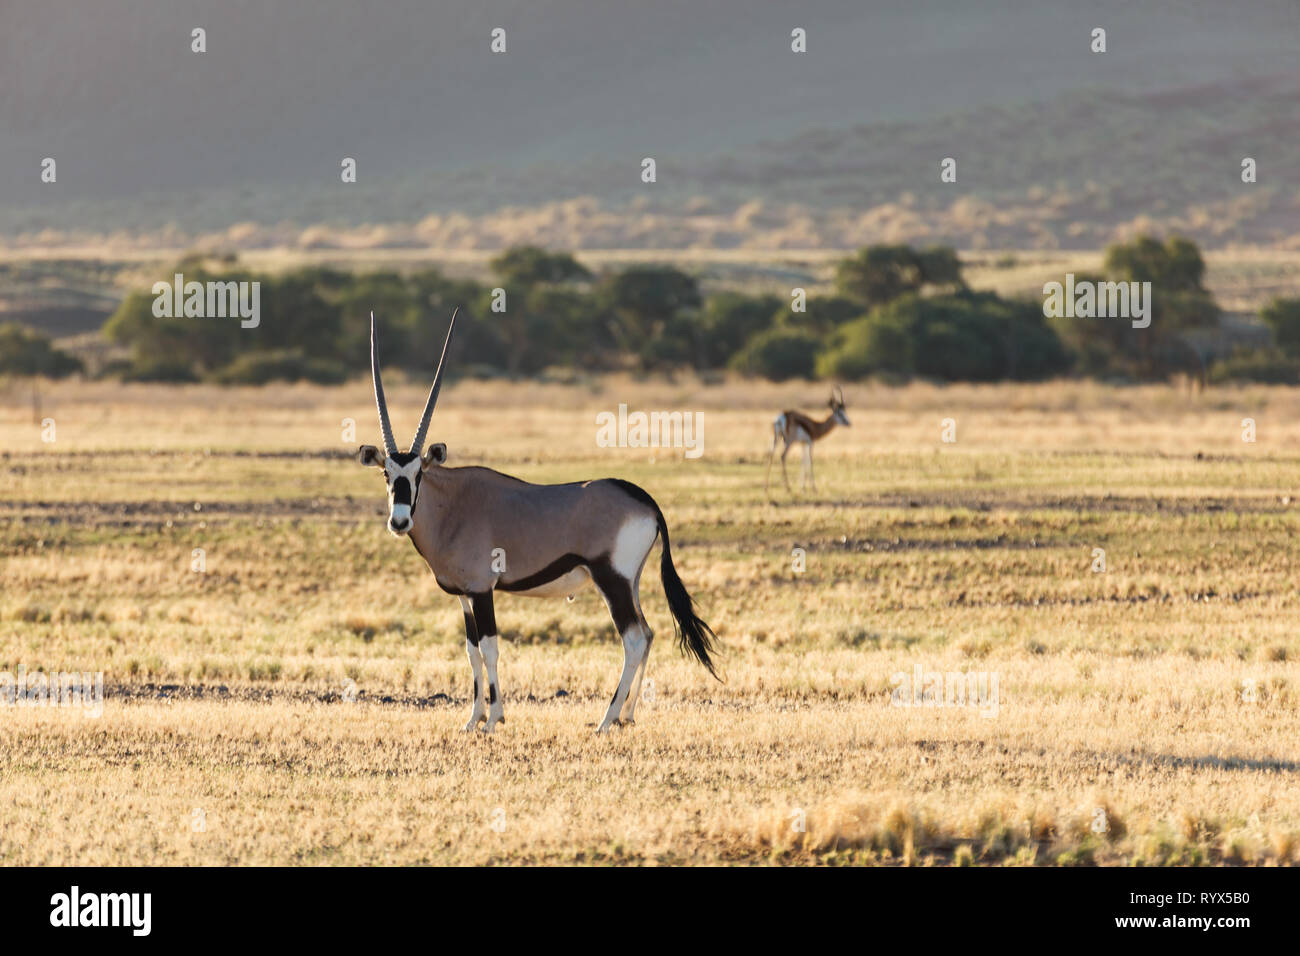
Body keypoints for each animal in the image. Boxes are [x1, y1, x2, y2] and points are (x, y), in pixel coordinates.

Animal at [357, 312, 720, 733]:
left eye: (418, 474)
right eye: (386, 474)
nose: (399, 521)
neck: (453, 505)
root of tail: (645, 500)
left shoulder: (482, 589)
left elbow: (490, 648)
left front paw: (494, 720)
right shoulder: (465, 596)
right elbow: (471, 652)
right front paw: (472, 720)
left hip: (611, 580)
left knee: (632, 638)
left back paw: (606, 720)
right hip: (631, 582)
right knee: (647, 633)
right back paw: (627, 715)